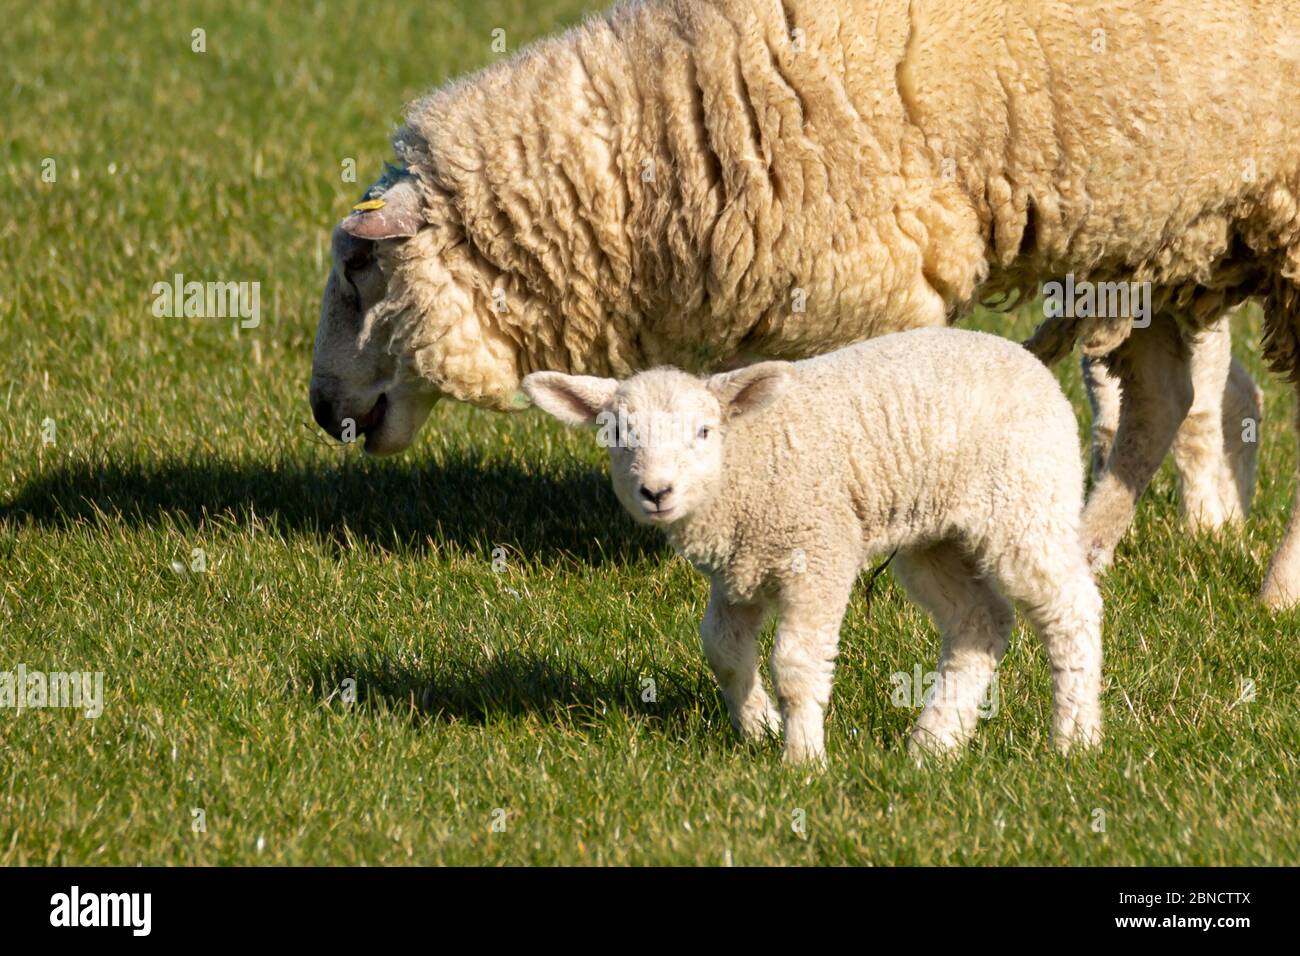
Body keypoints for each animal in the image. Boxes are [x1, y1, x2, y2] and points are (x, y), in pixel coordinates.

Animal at [309, 0, 1300, 604]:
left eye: (358, 268)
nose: (321, 411)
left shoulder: (870, 289)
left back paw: (1276, 591)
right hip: (1174, 229)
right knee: (1164, 399)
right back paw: (1087, 551)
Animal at [523, 327, 1103, 763]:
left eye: (704, 432)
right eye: (619, 434)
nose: (656, 492)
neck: (743, 464)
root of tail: (1029, 362)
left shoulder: (818, 550)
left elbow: (796, 666)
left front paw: (802, 759)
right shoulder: (738, 569)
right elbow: (723, 651)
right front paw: (758, 726)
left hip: (1027, 499)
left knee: (1071, 611)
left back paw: (1075, 740)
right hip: (938, 534)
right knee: (979, 620)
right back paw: (934, 745)